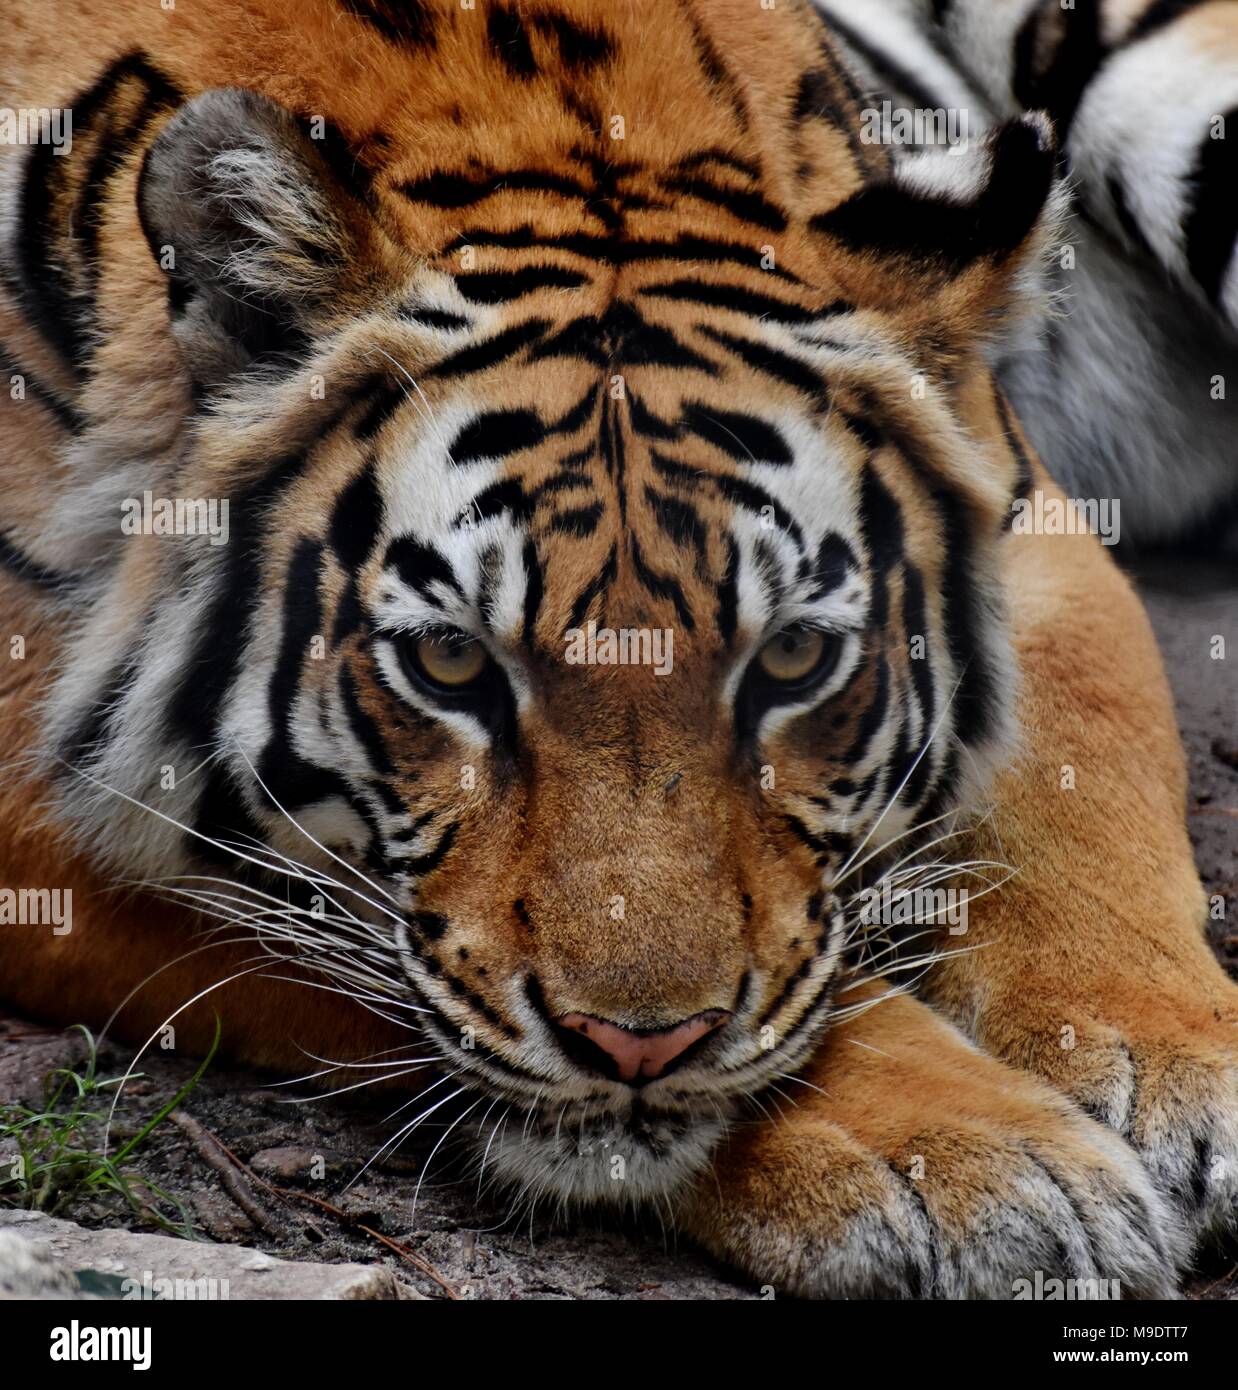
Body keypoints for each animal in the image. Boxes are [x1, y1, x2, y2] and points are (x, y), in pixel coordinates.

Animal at [0, 0, 1235, 1300]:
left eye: (792, 659)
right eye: (449, 664)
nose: (641, 1045)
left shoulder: (1019, 507)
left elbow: (1081, 768)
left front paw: (1170, 1069)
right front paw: (983, 1164)